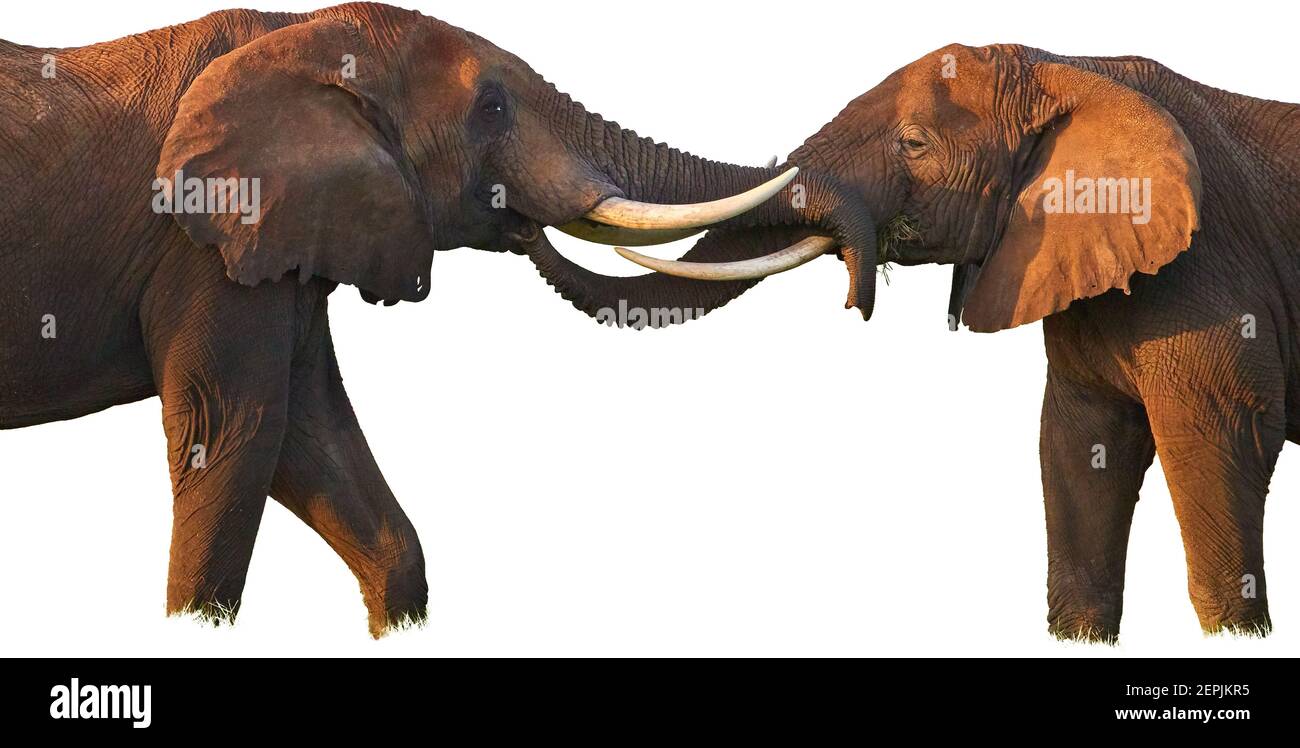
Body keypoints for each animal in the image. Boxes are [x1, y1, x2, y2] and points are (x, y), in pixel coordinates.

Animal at [0, 3, 875, 635]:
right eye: (490, 107)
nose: (858, 295)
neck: (298, 32)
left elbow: (312, 437)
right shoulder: (204, 240)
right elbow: (236, 430)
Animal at [604, 44, 1300, 641]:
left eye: (914, 144)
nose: (857, 299)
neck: (1074, 69)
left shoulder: (1212, 274)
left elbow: (1213, 440)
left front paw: (1236, 636)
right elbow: (1078, 446)